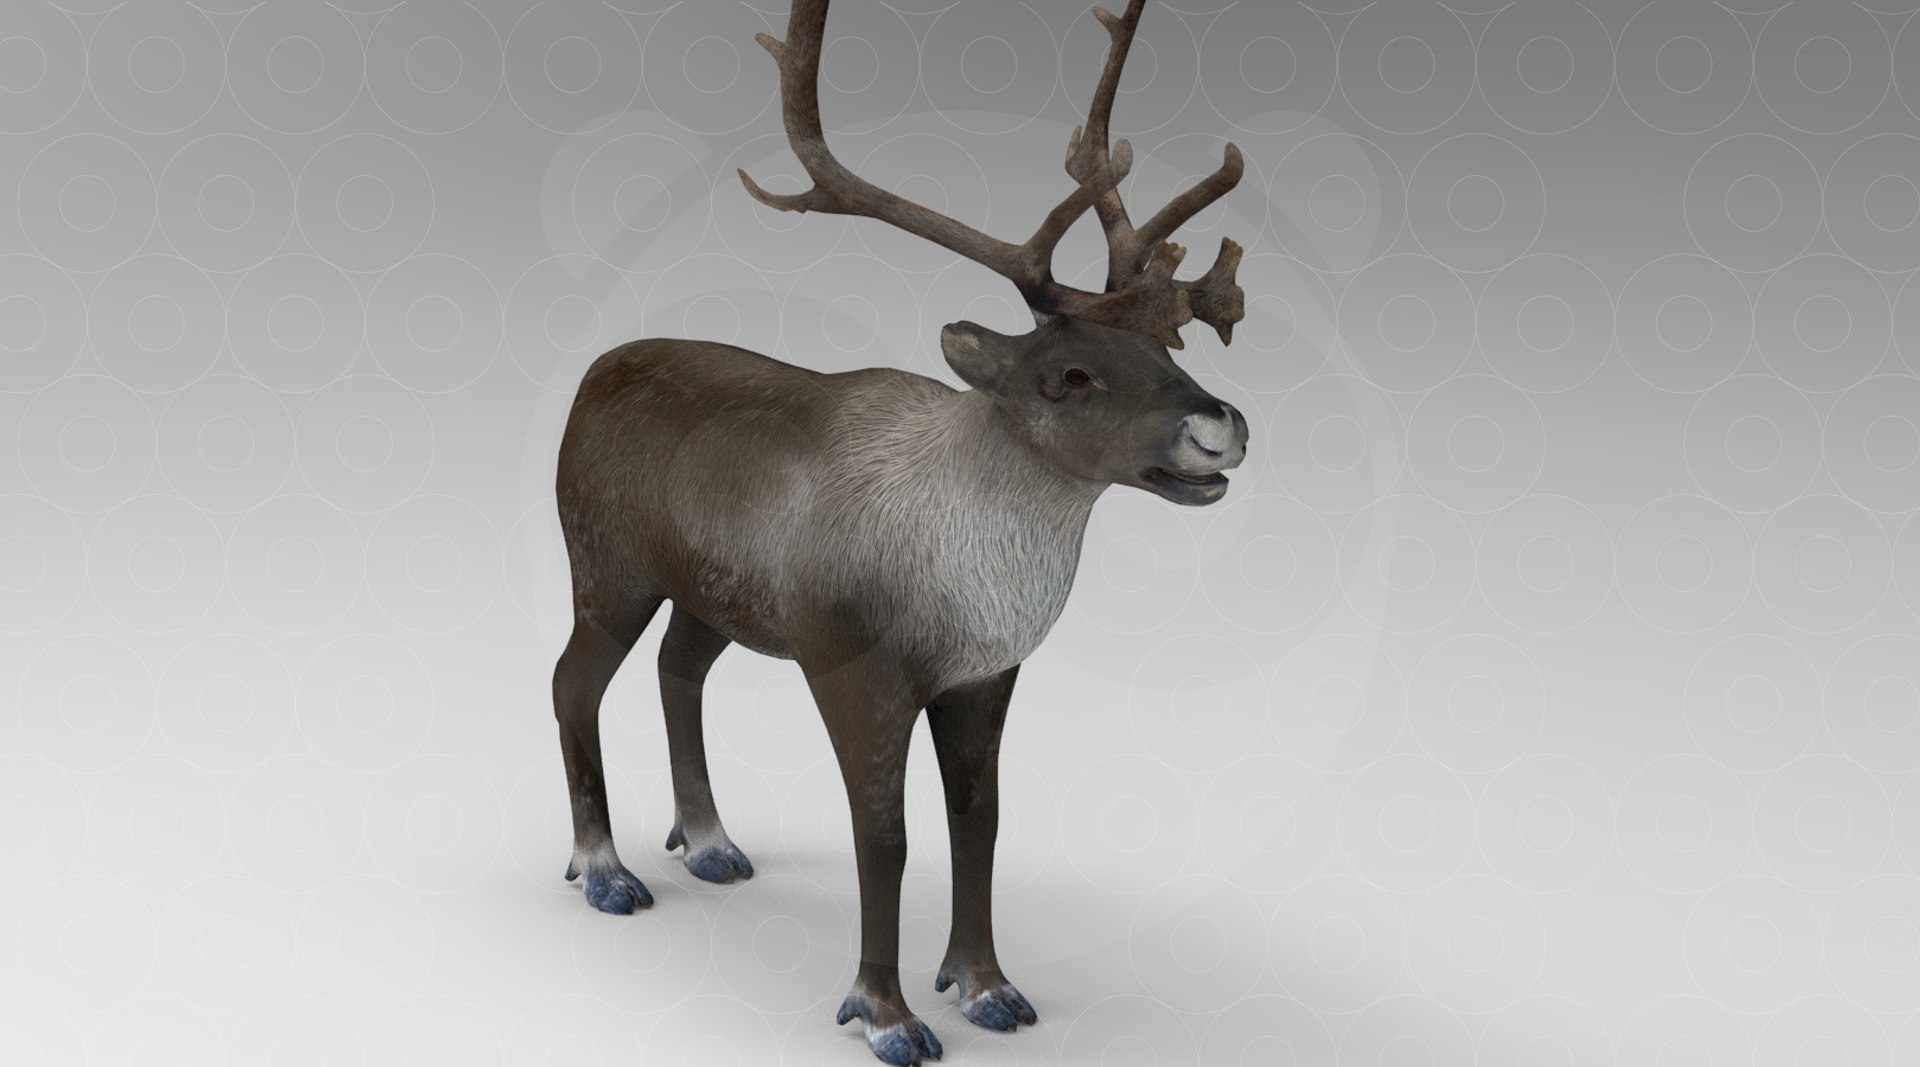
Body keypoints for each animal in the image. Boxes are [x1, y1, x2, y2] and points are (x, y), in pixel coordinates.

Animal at [550, 1, 1249, 1062]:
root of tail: (590, 374)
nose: (1222, 427)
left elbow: (979, 821)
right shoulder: (855, 667)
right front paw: (886, 1013)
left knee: (678, 668)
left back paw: (709, 842)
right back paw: (603, 870)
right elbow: (885, 838)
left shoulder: (984, 674)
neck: (969, 566)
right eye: (1069, 374)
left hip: (710, 594)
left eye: (1167, 349)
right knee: (571, 680)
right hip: (607, 567)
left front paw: (986, 984)